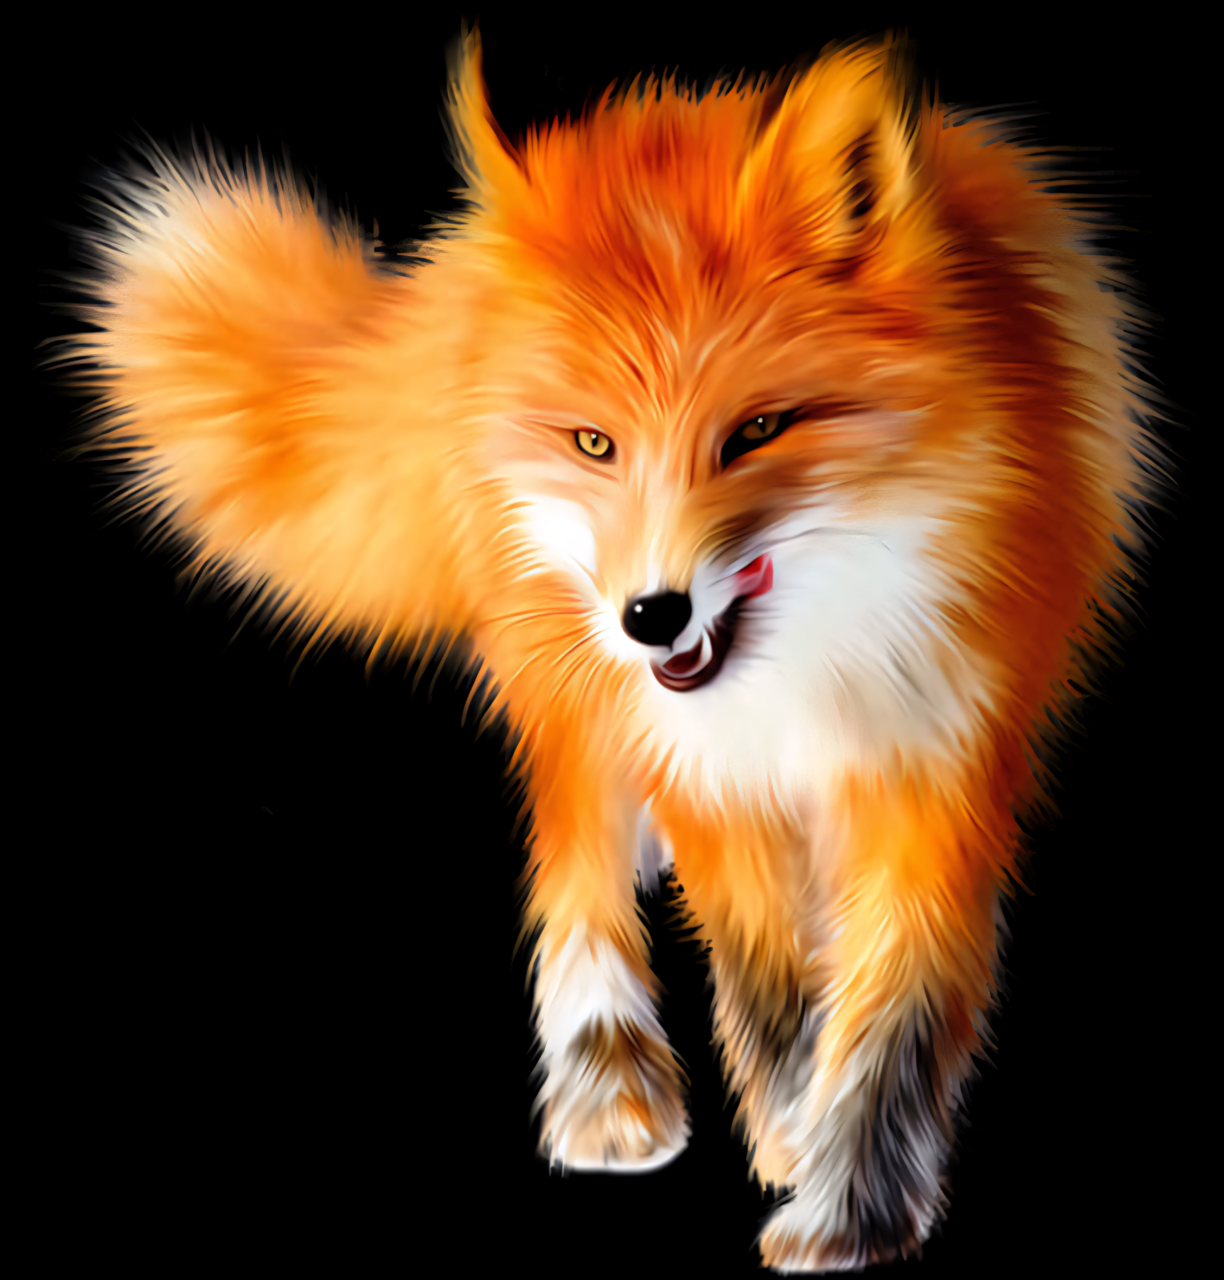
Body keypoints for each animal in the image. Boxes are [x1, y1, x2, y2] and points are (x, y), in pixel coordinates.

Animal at [48, 25, 1165, 1272]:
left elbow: (891, 1009)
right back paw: (606, 1085)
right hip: (565, 681)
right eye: (594, 442)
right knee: (574, 859)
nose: (652, 616)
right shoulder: (707, 771)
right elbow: (769, 984)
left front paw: (846, 1208)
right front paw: (790, 1134)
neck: (807, 673)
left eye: (756, 432)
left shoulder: (941, 758)